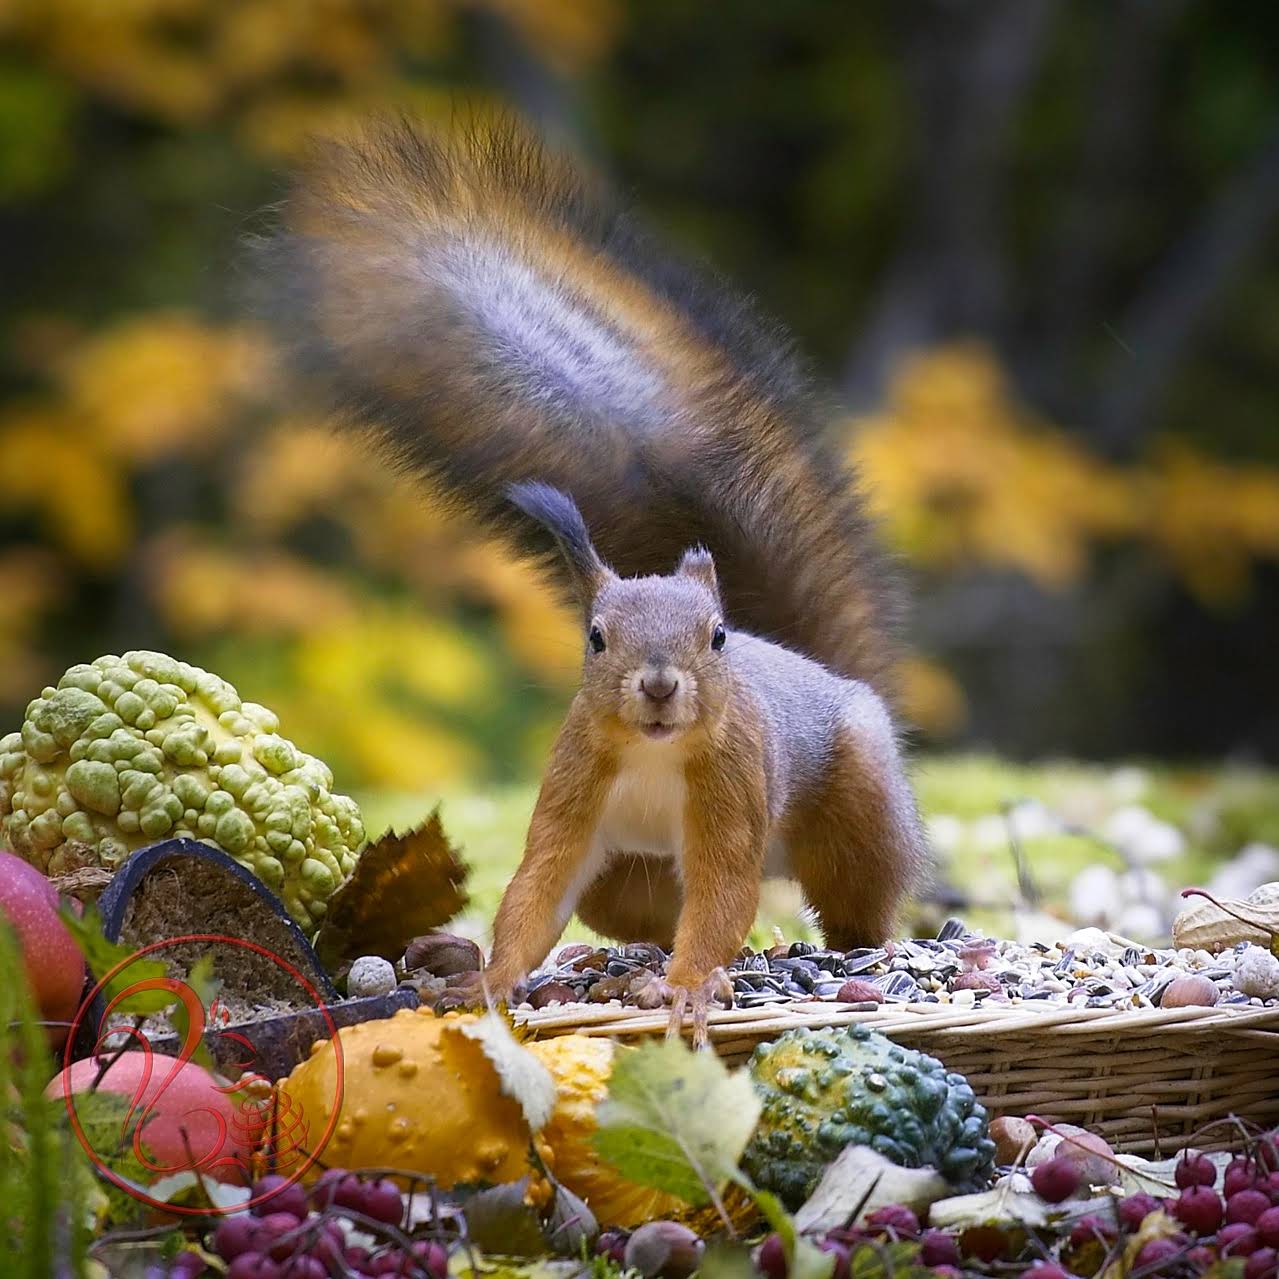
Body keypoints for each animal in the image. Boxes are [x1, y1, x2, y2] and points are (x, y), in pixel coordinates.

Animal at [254, 119, 929, 1042]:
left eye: (715, 636)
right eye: (596, 636)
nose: (657, 683)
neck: (651, 756)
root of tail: (830, 675)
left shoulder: (730, 800)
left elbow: (721, 897)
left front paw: (688, 988)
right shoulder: (572, 799)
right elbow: (536, 892)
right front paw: (490, 978)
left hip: (855, 814)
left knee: (849, 901)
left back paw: (848, 947)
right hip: (630, 879)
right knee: (649, 917)